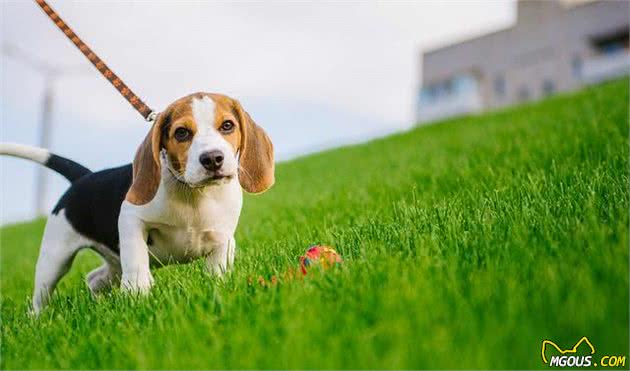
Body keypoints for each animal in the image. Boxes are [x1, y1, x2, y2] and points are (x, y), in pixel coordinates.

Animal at [0, 93, 274, 314]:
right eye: (181, 133)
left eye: (227, 126)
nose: (213, 159)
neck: (193, 194)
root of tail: (84, 176)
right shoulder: (131, 219)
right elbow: (137, 260)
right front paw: (138, 293)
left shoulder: (224, 239)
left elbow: (217, 269)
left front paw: (216, 288)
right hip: (55, 256)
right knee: (41, 296)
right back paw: (38, 320)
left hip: (111, 264)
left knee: (94, 278)